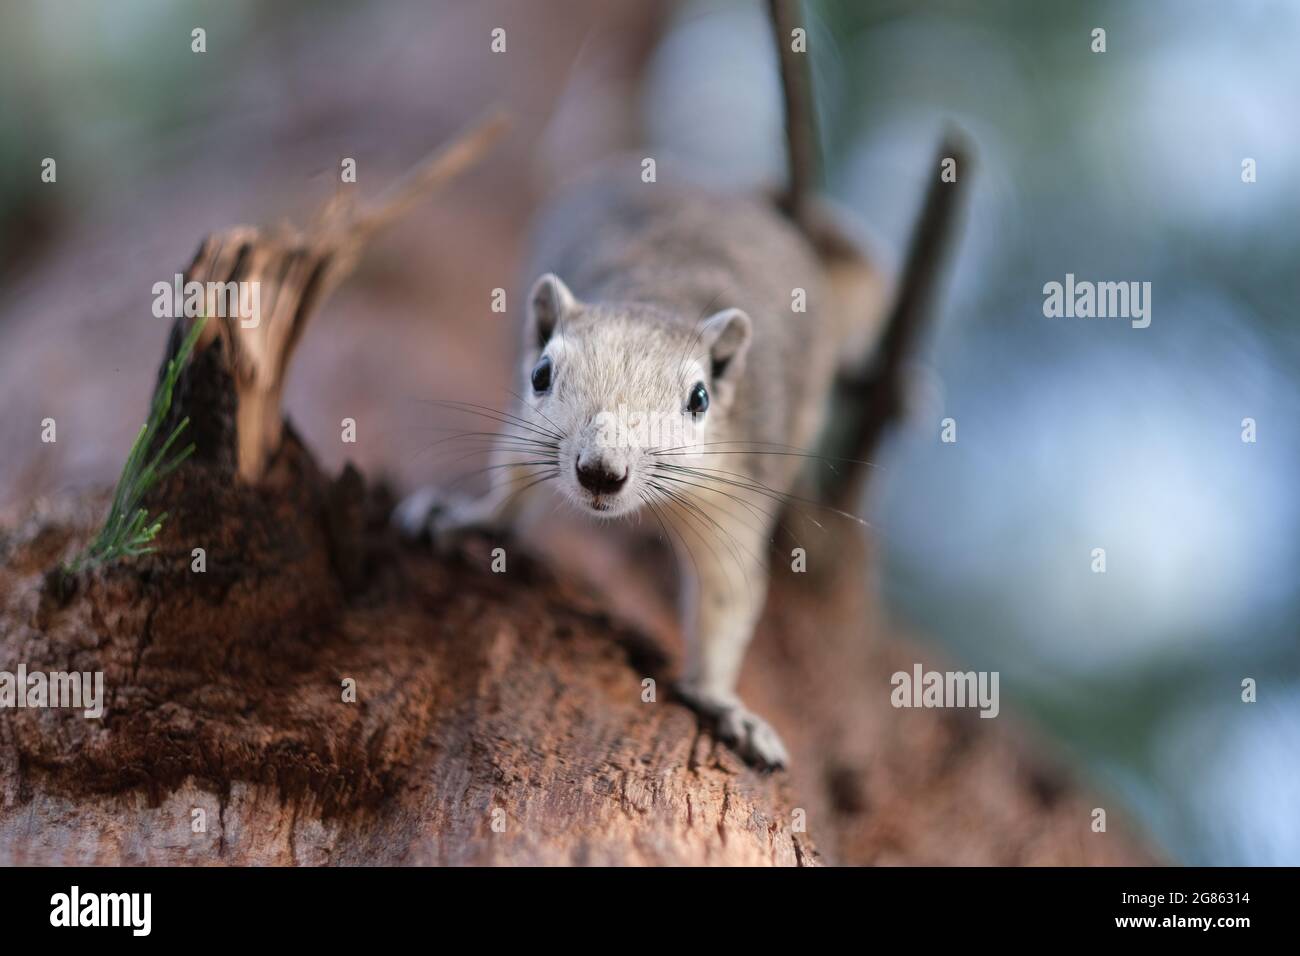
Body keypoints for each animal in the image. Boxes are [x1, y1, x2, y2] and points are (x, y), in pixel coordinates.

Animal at [397, 2, 889, 768]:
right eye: (541, 374)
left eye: (700, 400)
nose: (601, 472)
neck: (657, 291)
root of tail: (725, 190)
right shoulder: (524, 432)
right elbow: (508, 487)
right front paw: (465, 517)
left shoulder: (736, 491)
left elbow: (727, 595)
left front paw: (725, 705)